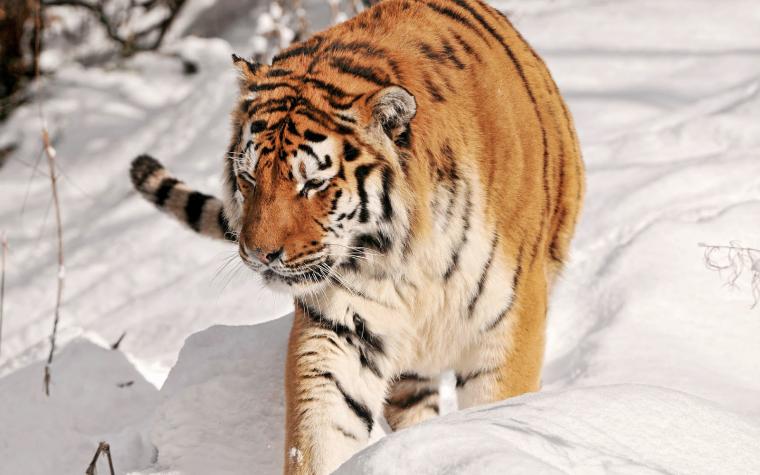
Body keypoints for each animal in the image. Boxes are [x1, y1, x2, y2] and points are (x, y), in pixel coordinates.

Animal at [129, 0, 584, 472]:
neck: (412, 253)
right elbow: (321, 428)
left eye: (312, 184)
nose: (258, 254)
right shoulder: (341, 327)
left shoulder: (507, 325)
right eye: (249, 177)